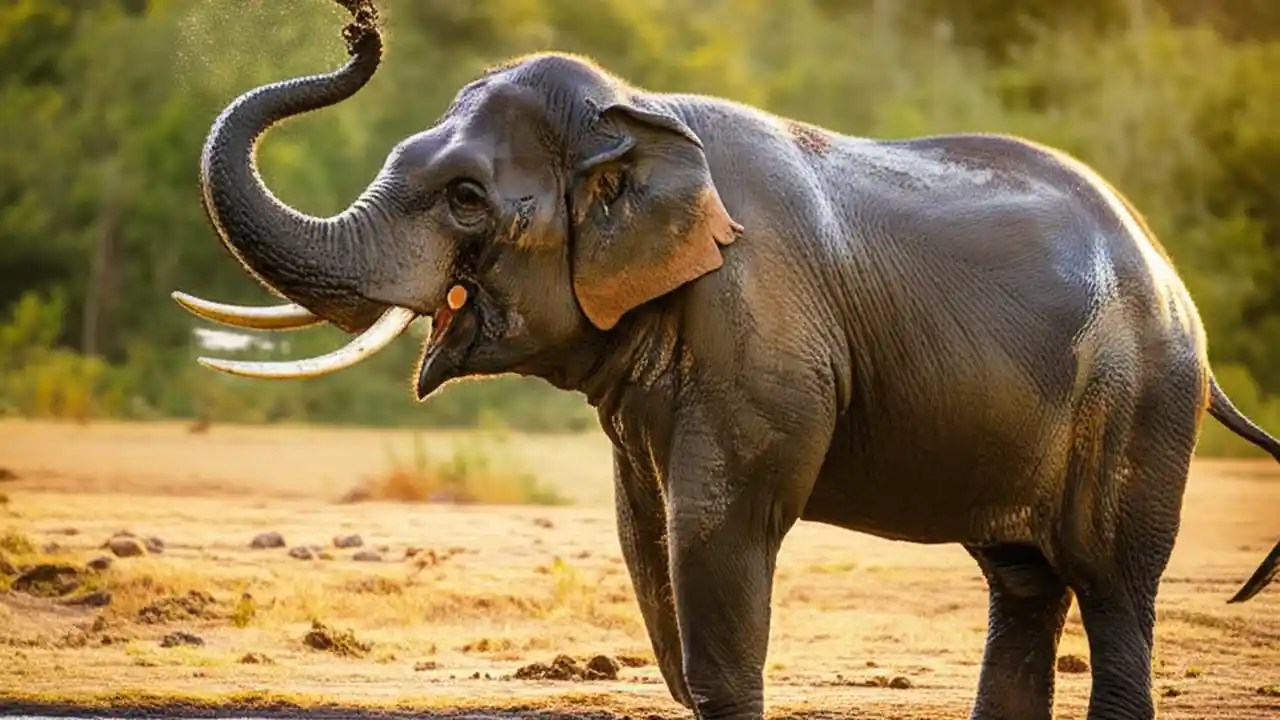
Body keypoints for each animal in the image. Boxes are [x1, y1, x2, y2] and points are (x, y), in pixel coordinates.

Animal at [174, 3, 1279, 719]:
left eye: (465, 199)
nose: (359, 25)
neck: (634, 116)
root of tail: (1172, 284)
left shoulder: (760, 331)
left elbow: (714, 528)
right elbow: (646, 533)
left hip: (1138, 402)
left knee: (1109, 586)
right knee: (1023, 586)